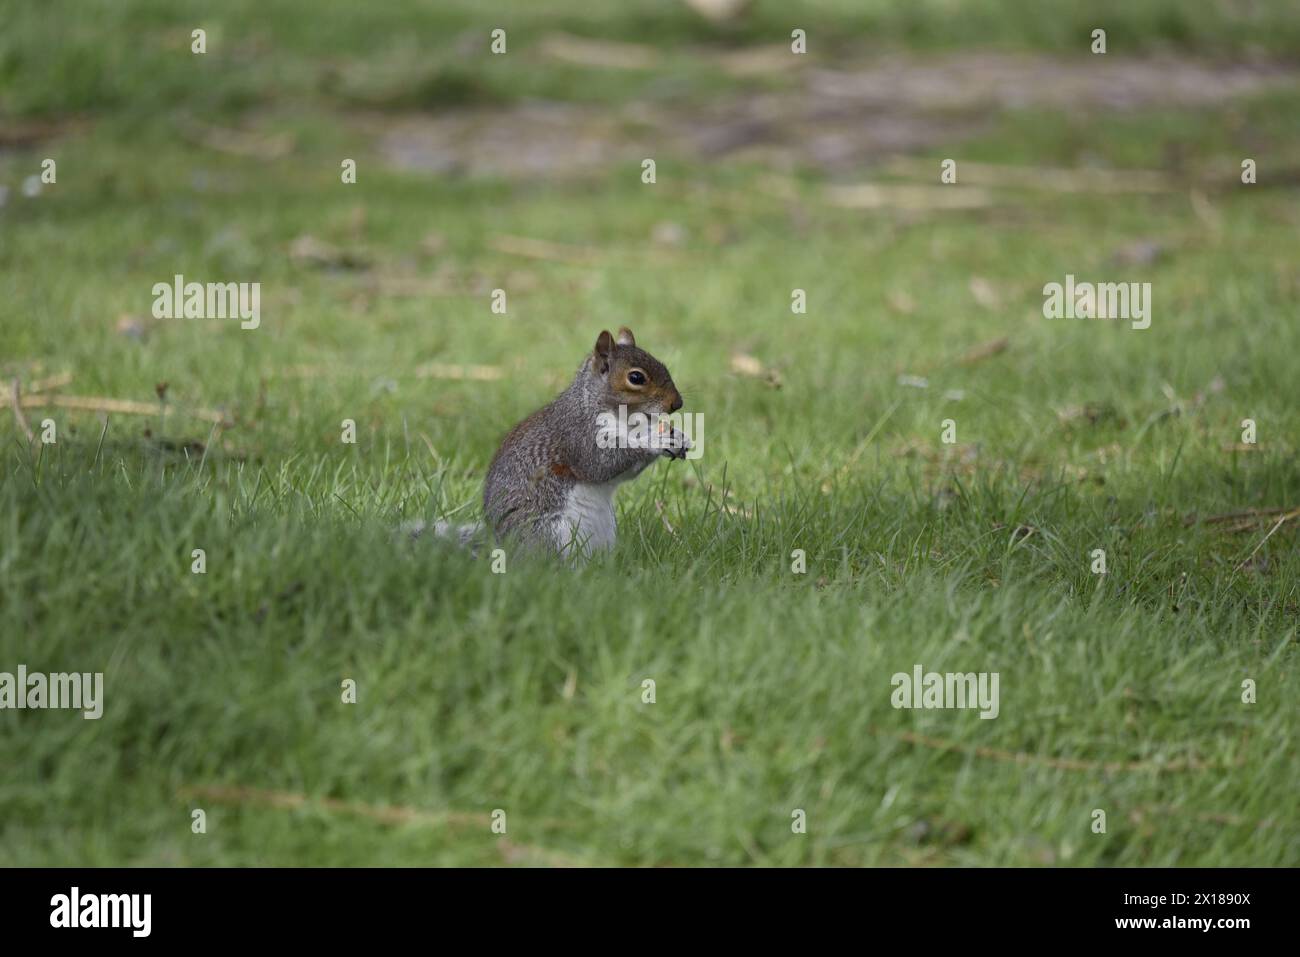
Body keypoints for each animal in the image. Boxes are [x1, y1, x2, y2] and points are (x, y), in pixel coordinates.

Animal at [416, 328, 689, 558]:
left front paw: (677, 436)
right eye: (636, 377)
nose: (677, 403)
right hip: (549, 533)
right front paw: (656, 441)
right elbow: (599, 465)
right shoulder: (578, 435)